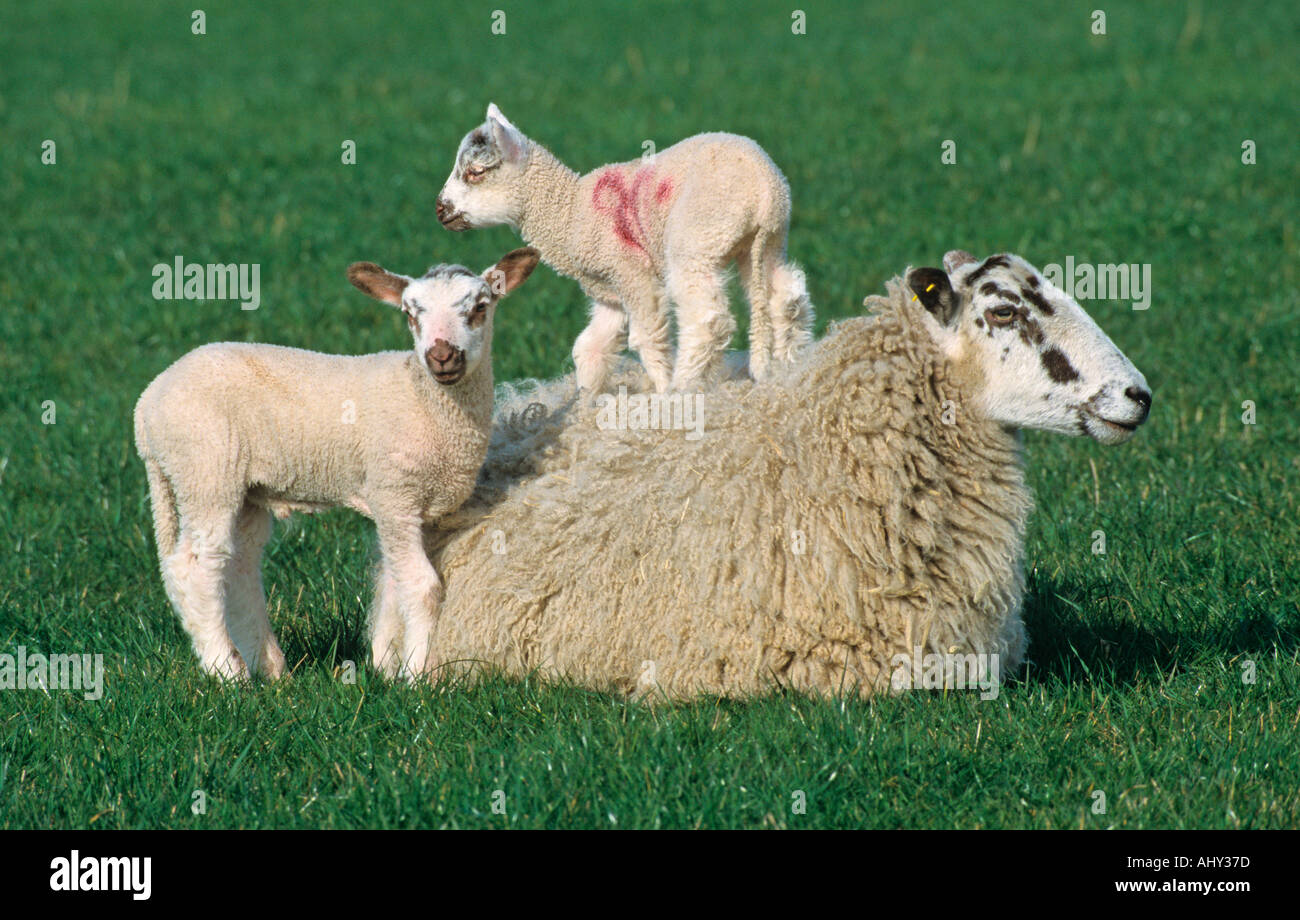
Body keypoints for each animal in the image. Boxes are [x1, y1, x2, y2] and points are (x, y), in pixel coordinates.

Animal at [133, 248, 540, 681]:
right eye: (410, 314)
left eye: (480, 307)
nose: (441, 356)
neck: (422, 396)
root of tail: (146, 406)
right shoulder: (395, 492)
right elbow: (423, 585)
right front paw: (418, 676)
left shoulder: (411, 503)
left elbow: (393, 583)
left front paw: (386, 666)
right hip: (205, 471)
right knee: (195, 569)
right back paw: (227, 672)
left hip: (241, 489)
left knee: (239, 566)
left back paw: (272, 669)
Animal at [435, 103, 814, 394]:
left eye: (475, 172)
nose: (439, 209)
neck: (568, 211)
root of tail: (764, 188)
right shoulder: (609, 291)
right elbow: (589, 347)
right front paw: (587, 400)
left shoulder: (631, 271)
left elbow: (645, 338)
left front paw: (662, 388)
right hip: (764, 242)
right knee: (786, 295)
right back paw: (786, 365)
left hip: (698, 240)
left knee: (707, 319)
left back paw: (685, 384)